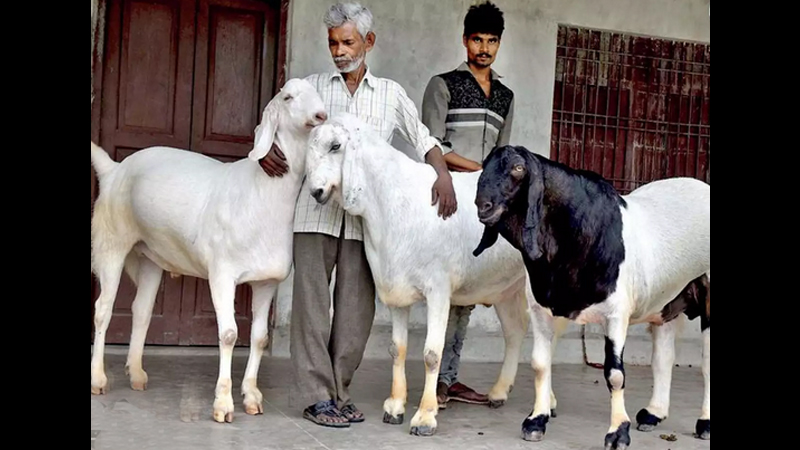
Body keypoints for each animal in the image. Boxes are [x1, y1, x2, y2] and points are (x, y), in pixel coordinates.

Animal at [89, 78, 327, 424]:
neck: (261, 193)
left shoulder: (267, 281)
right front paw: (224, 404)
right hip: (112, 241)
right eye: (288, 97)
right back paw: (98, 379)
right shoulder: (222, 274)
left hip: (150, 256)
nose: (321, 115)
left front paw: (252, 396)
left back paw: (136, 374)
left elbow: (259, 337)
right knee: (103, 309)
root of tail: (114, 169)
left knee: (141, 310)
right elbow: (228, 334)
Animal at [303, 112, 570, 437]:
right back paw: (499, 392)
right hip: (507, 287)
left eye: (336, 146)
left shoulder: (438, 290)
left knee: (549, 335)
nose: (316, 191)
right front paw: (395, 406)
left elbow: (432, 354)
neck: (392, 202)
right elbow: (397, 349)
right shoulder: (396, 290)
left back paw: (548, 404)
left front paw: (425, 417)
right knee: (515, 331)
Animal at [473, 145, 710, 449]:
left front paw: (618, 432)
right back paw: (653, 413)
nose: (483, 206)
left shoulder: (616, 315)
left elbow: (615, 374)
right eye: (485, 165)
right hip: (667, 301)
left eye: (518, 168)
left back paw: (704, 422)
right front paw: (536, 420)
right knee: (663, 356)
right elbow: (540, 363)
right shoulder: (540, 310)